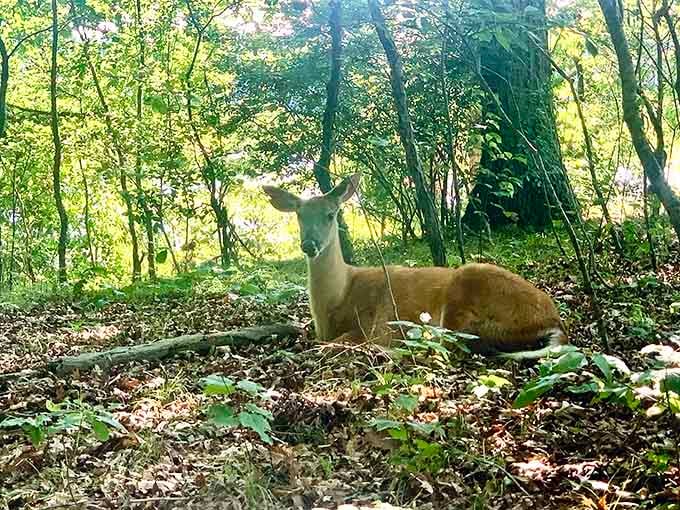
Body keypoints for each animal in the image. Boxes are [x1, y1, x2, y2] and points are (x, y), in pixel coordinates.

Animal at [263, 173, 568, 360]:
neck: (338, 297)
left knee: (445, 348)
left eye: (330, 214)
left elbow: (333, 344)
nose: (309, 244)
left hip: (465, 300)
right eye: (299, 216)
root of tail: (554, 319)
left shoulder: (378, 323)